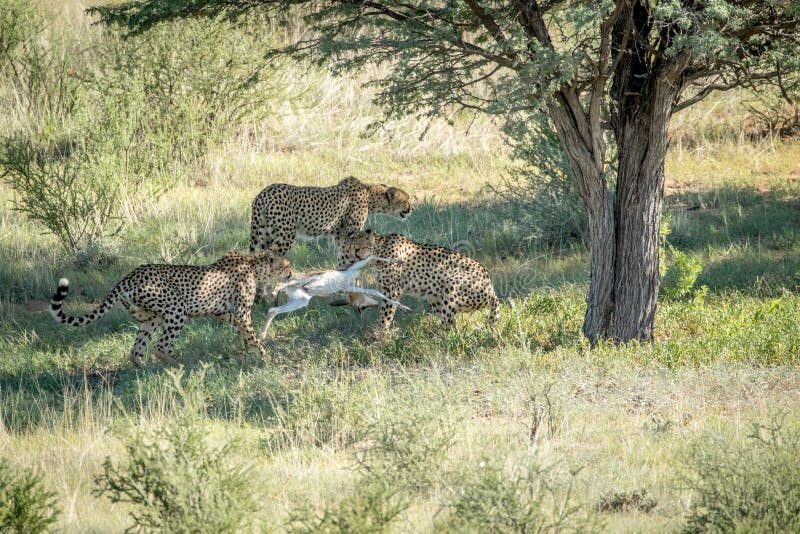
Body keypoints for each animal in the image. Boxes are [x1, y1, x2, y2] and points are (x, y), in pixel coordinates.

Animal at [50, 251, 292, 367]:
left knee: (136, 351)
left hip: (150, 319)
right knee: (160, 347)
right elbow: (250, 333)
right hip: (177, 310)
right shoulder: (241, 313)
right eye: (286, 265)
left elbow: (241, 328)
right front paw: (264, 356)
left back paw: (146, 370)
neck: (254, 265)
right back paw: (179, 365)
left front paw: (251, 348)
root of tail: (129, 275)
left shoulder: (220, 312)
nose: (291, 272)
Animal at [249, 176, 412, 264]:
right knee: (271, 256)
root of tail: (263, 193)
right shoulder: (349, 234)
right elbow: (347, 256)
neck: (369, 195)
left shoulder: (340, 235)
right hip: (285, 236)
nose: (411, 209)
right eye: (406, 200)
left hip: (264, 235)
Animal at [341, 230, 500, 339]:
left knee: (448, 325)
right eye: (349, 249)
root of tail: (492, 291)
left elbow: (385, 315)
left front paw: (380, 334)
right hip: (435, 298)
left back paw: (434, 341)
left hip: (452, 285)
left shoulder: (393, 290)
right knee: (451, 325)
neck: (378, 252)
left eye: (359, 248)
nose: (353, 257)